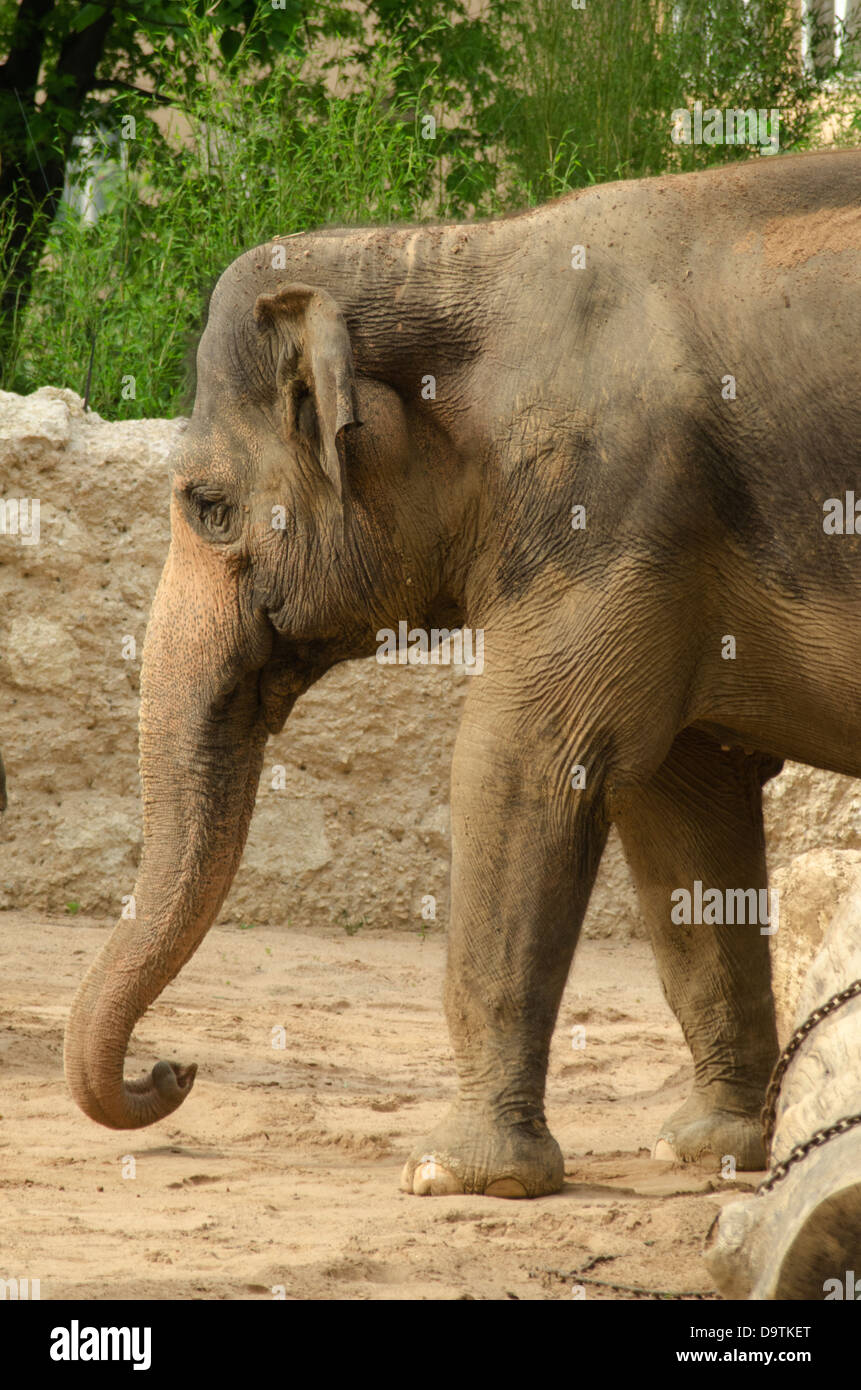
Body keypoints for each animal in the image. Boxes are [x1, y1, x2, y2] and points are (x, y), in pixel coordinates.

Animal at [65, 148, 861, 1198]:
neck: (453, 250)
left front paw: (455, 1175)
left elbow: (517, 764)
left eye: (206, 507)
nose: (171, 1068)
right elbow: (677, 801)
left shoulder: (610, 509)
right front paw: (708, 1150)